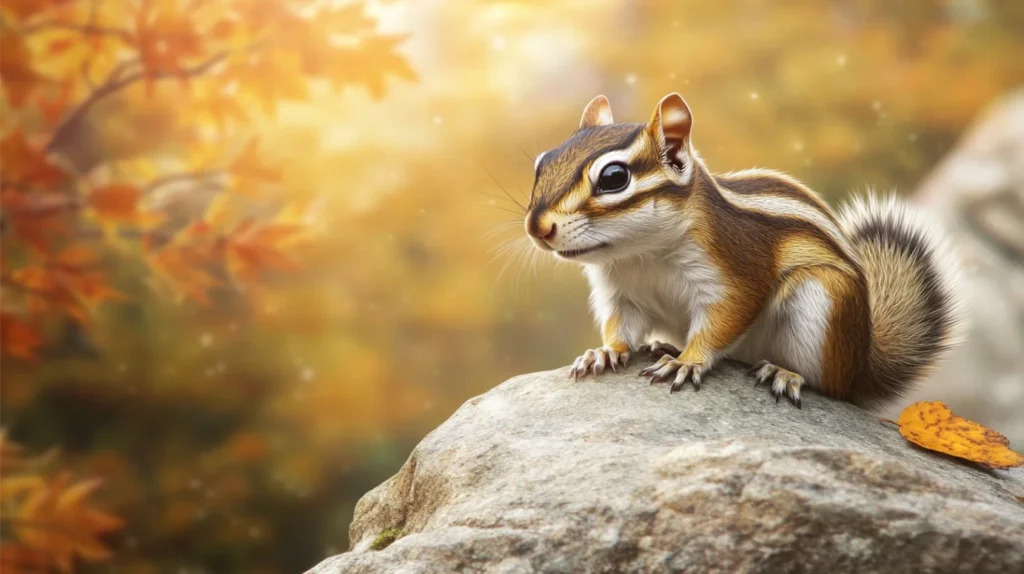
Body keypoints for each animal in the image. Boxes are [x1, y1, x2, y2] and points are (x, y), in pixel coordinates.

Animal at [524, 93, 964, 408]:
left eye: (614, 178)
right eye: (541, 163)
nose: (536, 227)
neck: (640, 255)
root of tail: (861, 365)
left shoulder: (735, 273)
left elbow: (724, 320)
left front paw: (687, 361)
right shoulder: (622, 294)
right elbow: (621, 328)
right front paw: (603, 353)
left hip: (822, 296)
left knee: (829, 387)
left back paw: (785, 374)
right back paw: (662, 344)